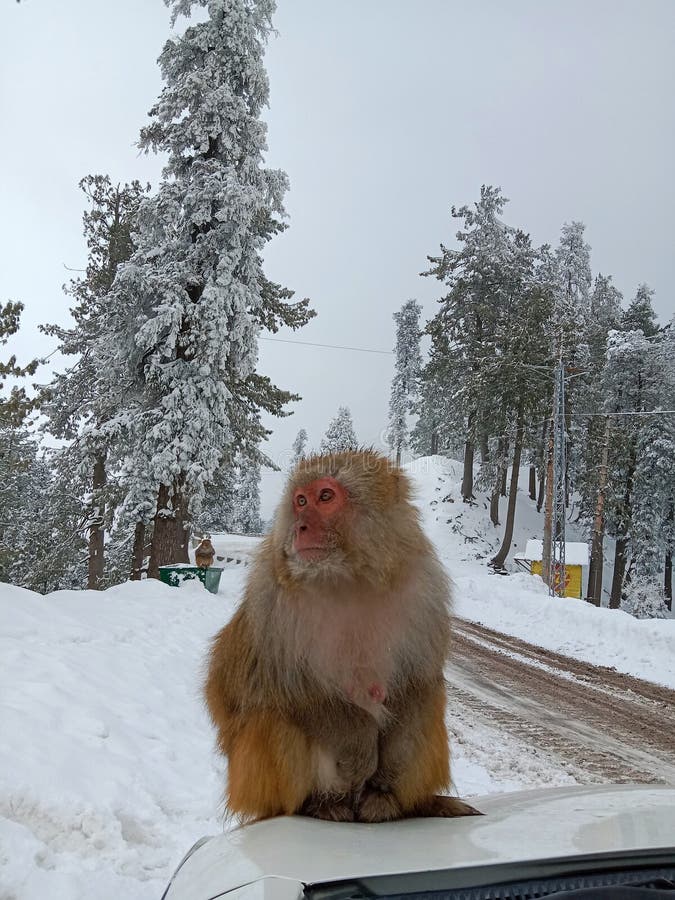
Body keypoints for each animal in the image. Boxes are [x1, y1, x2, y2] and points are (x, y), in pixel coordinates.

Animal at [204, 449, 479, 823]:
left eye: (325, 496)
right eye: (301, 501)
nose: (300, 526)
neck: (348, 579)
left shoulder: (424, 594)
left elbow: (417, 683)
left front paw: (386, 776)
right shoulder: (271, 606)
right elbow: (268, 690)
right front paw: (358, 746)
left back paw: (404, 801)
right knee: (270, 716)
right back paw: (319, 803)